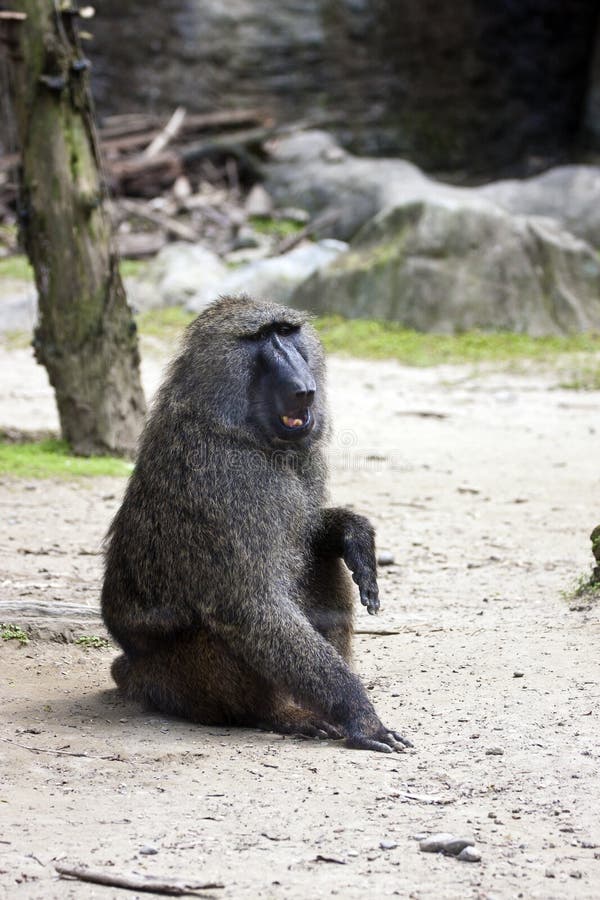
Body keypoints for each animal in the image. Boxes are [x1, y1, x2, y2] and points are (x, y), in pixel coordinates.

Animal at [101, 294, 411, 753]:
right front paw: (362, 717)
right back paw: (278, 715)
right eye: (260, 338)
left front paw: (354, 533)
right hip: (179, 679)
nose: (303, 387)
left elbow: (311, 531)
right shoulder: (226, 477)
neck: (235, 426)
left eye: (286, 332)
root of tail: (131, 671)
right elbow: (253, 609)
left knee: (319, 560)